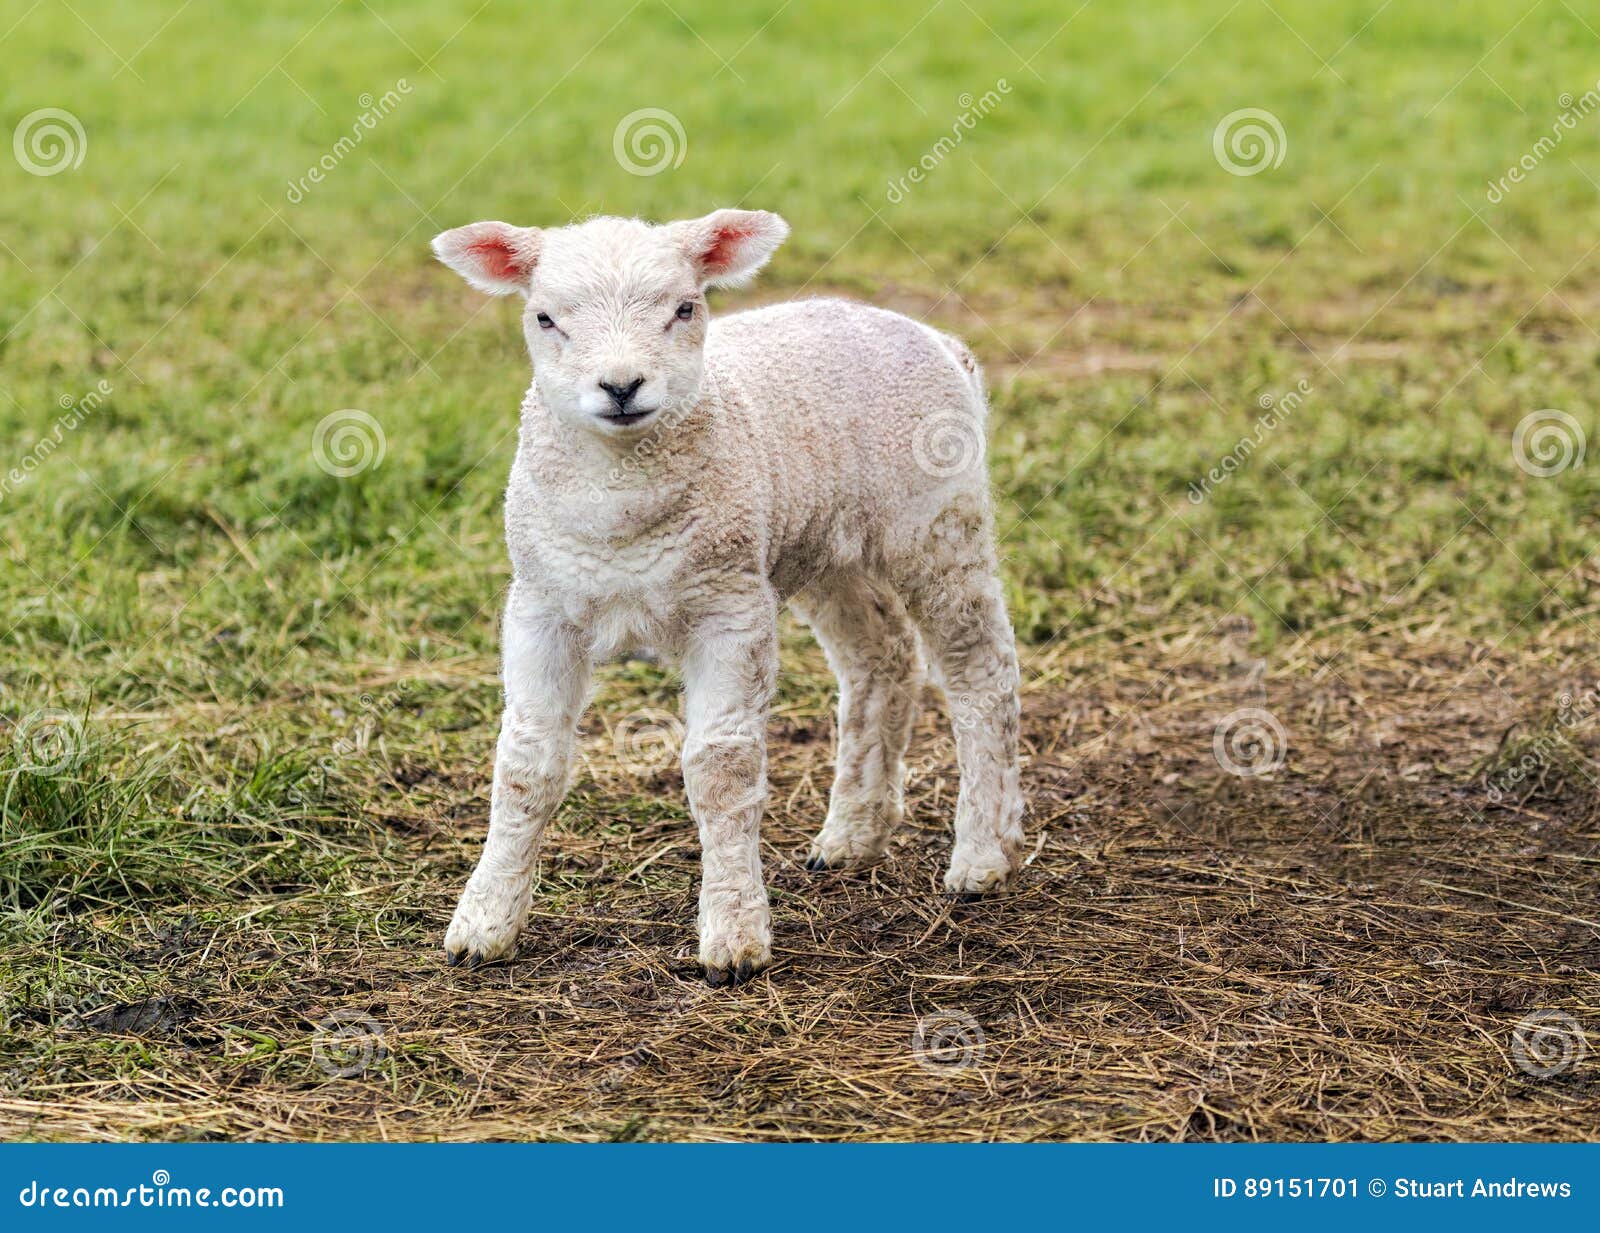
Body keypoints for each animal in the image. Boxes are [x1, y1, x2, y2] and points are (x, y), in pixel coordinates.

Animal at [430, 209, 1024, 985]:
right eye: (545, 318)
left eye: (686, 308)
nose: (621, 386)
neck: (619, 513)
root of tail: (938, 340)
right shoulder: (541, 604)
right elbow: (526, 766)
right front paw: (484, 924)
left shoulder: (728, 605)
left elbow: (721, 768)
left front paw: (734, 935)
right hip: (825, 545)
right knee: (883, 658)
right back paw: (852, 835)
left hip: (938, 522)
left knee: (981, 669)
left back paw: (983, 854)